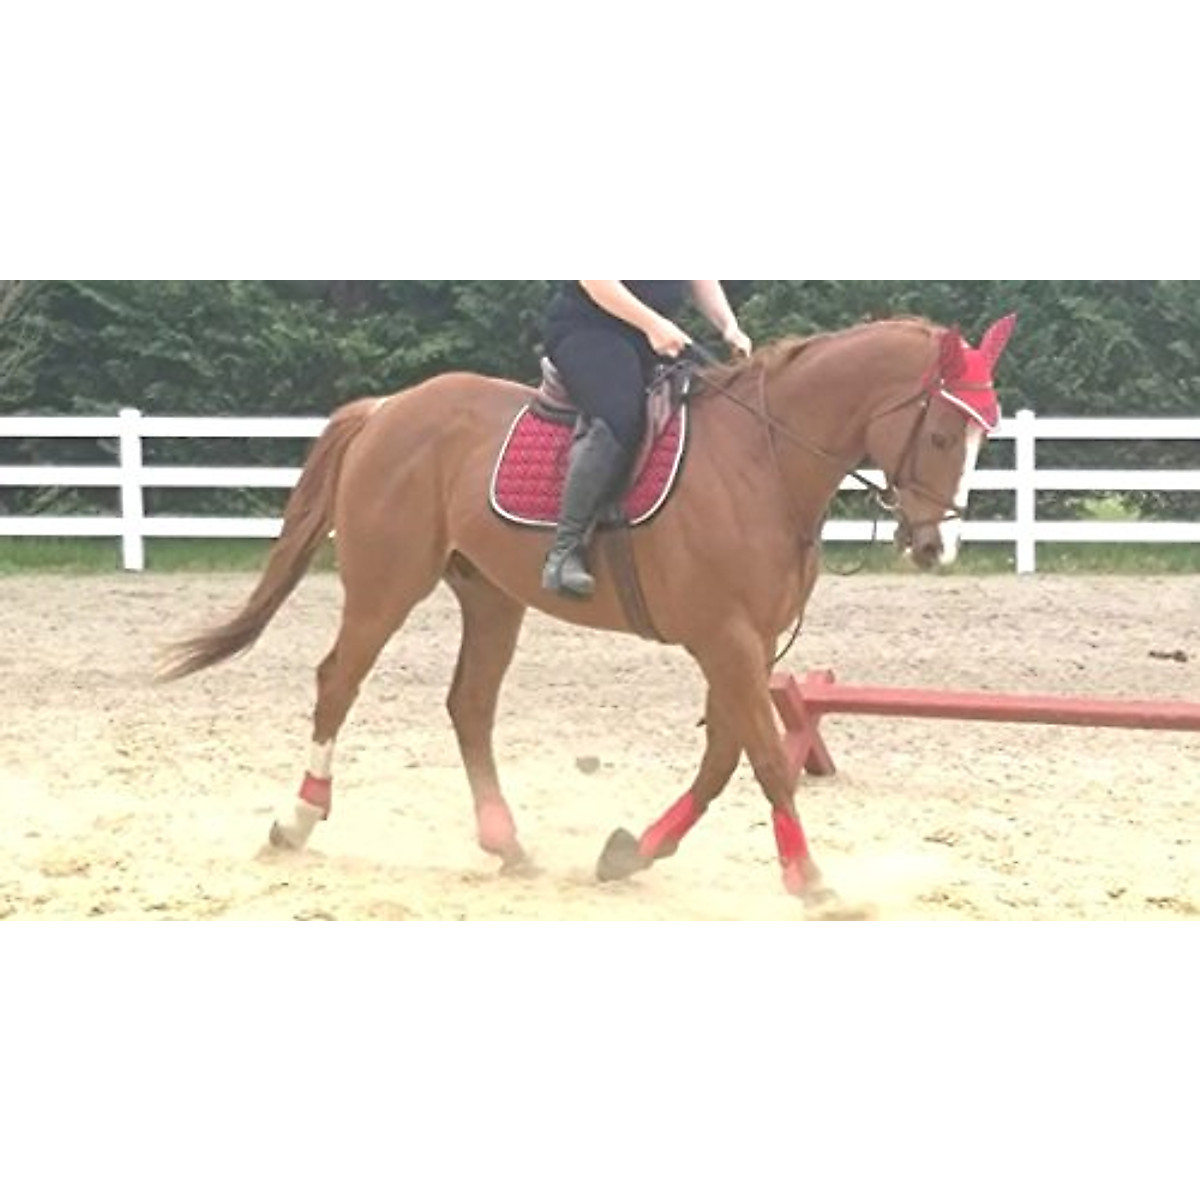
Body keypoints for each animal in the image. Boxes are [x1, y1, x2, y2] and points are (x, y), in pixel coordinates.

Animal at [159, 313, 1017, 913]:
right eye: (944, 433)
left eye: (986, 432)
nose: (935, 547)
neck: (763, 464)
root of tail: (389, 408)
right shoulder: (727, 641)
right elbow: (769, 761)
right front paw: (810, 881)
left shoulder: (749, 644)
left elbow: (722, 760)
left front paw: (629, 853)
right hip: (386, 582)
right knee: (338, 681)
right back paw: (296, 822)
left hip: (491, 597)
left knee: (469, 705)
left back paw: (506, 844)